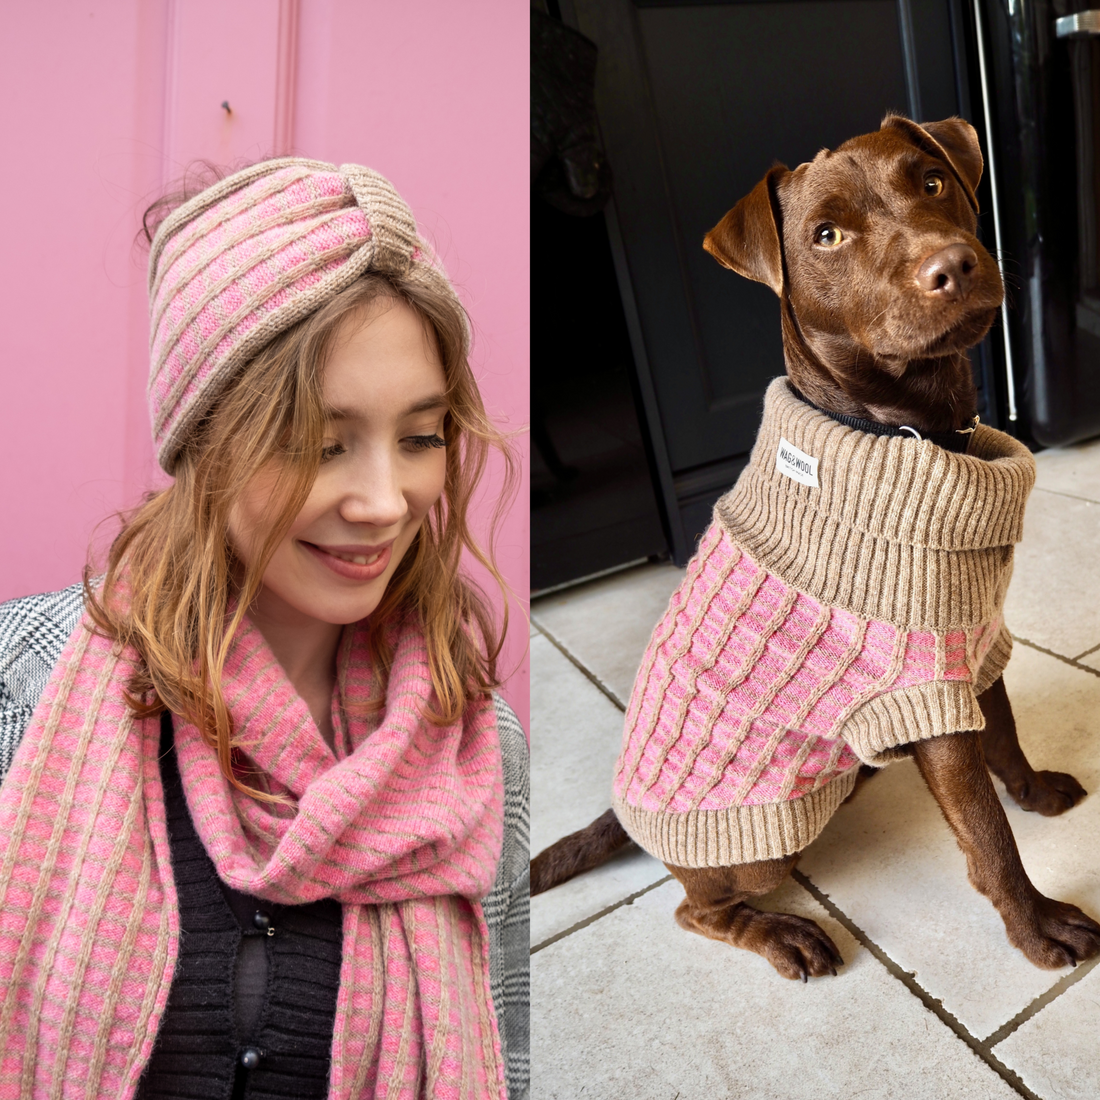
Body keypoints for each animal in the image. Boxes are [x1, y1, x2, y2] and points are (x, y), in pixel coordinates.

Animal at [532, 118, 1100, 981]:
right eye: (826, 236)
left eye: (932, 180)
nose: (953, 265)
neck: (906, 434)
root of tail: (620, 810)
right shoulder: (927, 697)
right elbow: (988, 839)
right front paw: (1038, 928)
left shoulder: (974, 649)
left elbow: (1005, 739)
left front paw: (1035, 794)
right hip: (759, 846)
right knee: (698, 910)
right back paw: (784, 934)